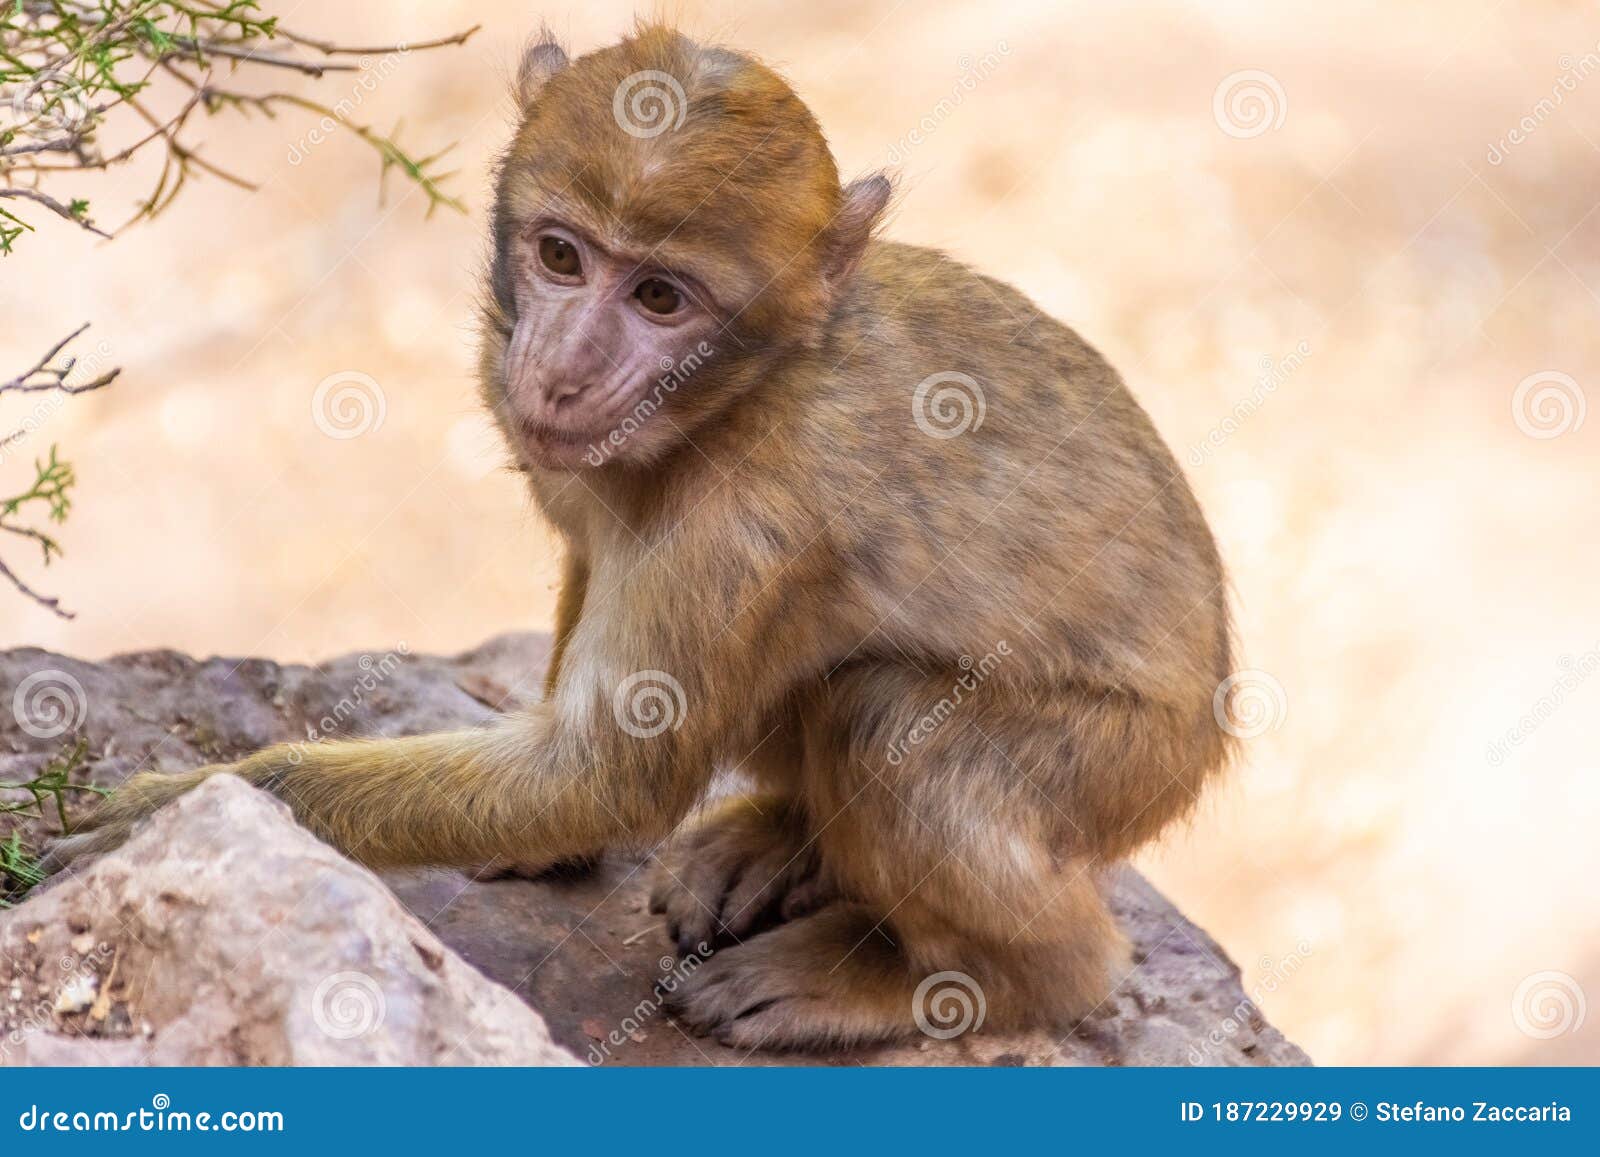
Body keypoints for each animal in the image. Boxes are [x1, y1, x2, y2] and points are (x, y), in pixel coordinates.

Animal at [45, 23, 1235, 1050]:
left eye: (661, 296)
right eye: (562, 256)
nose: (563, 369)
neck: (729, 399)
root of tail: (1208, 726)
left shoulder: (752, 516)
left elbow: (610, 770)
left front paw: (199, 806)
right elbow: (585, 587)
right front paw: (543, 835)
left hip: (1125, 764)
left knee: (888, 717)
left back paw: (952, 976)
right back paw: (786, 838)